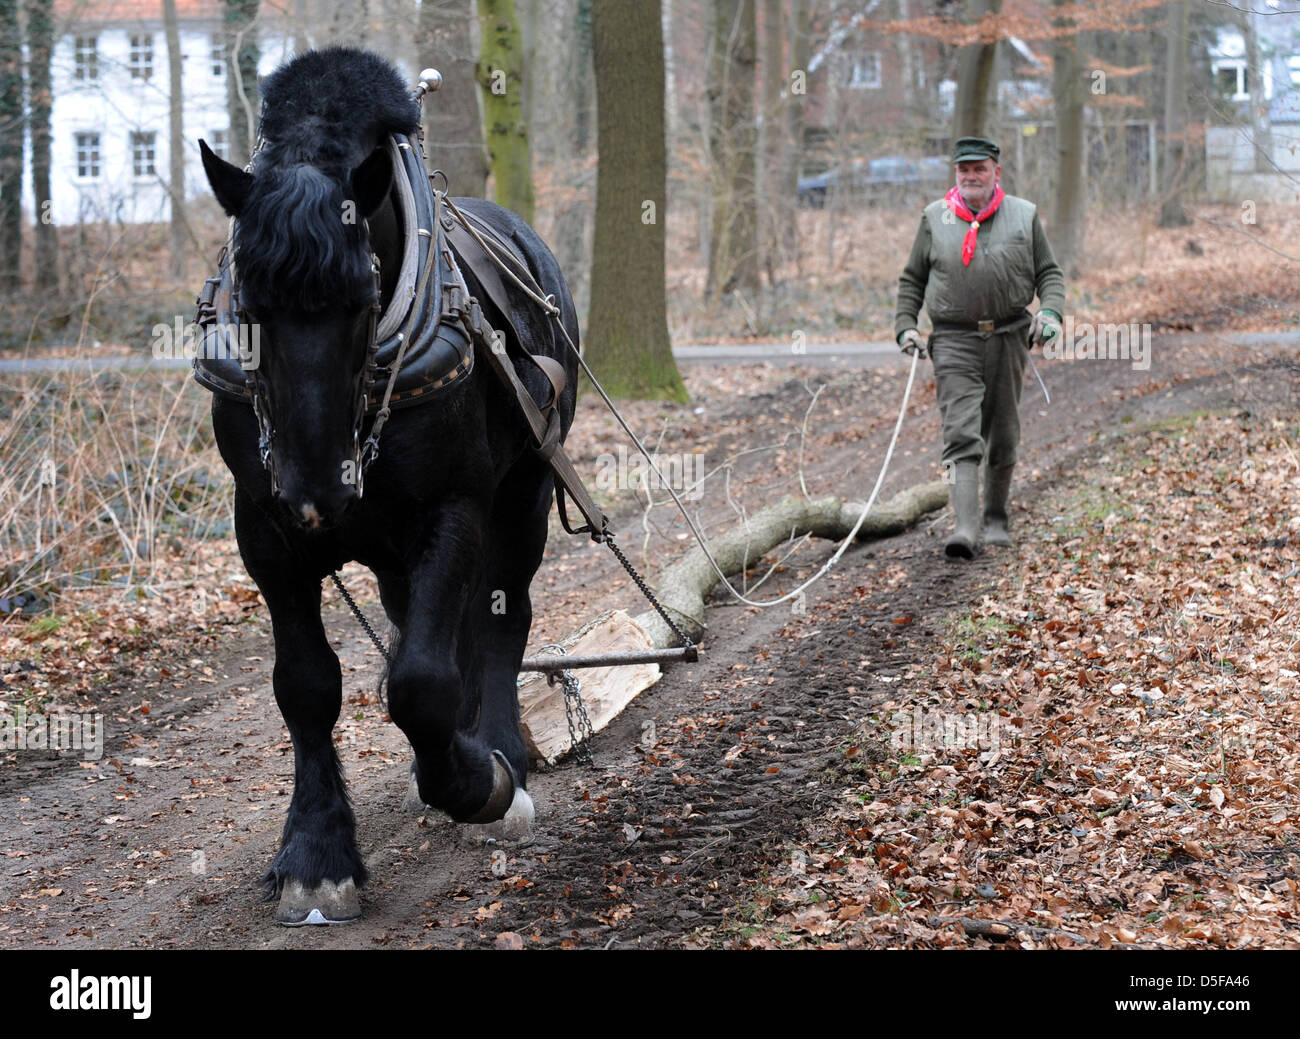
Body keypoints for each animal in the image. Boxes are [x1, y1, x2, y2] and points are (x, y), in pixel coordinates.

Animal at [194, 47, 580, 924]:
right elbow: (306, 686)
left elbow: (422, 681)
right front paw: (315, 855)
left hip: (525, 494)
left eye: (366, 299)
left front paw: (476, 781)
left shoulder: (454, 510)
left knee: (501, 616)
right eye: (249, 306)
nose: (315, 492)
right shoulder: (263, 531)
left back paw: (498, 749)